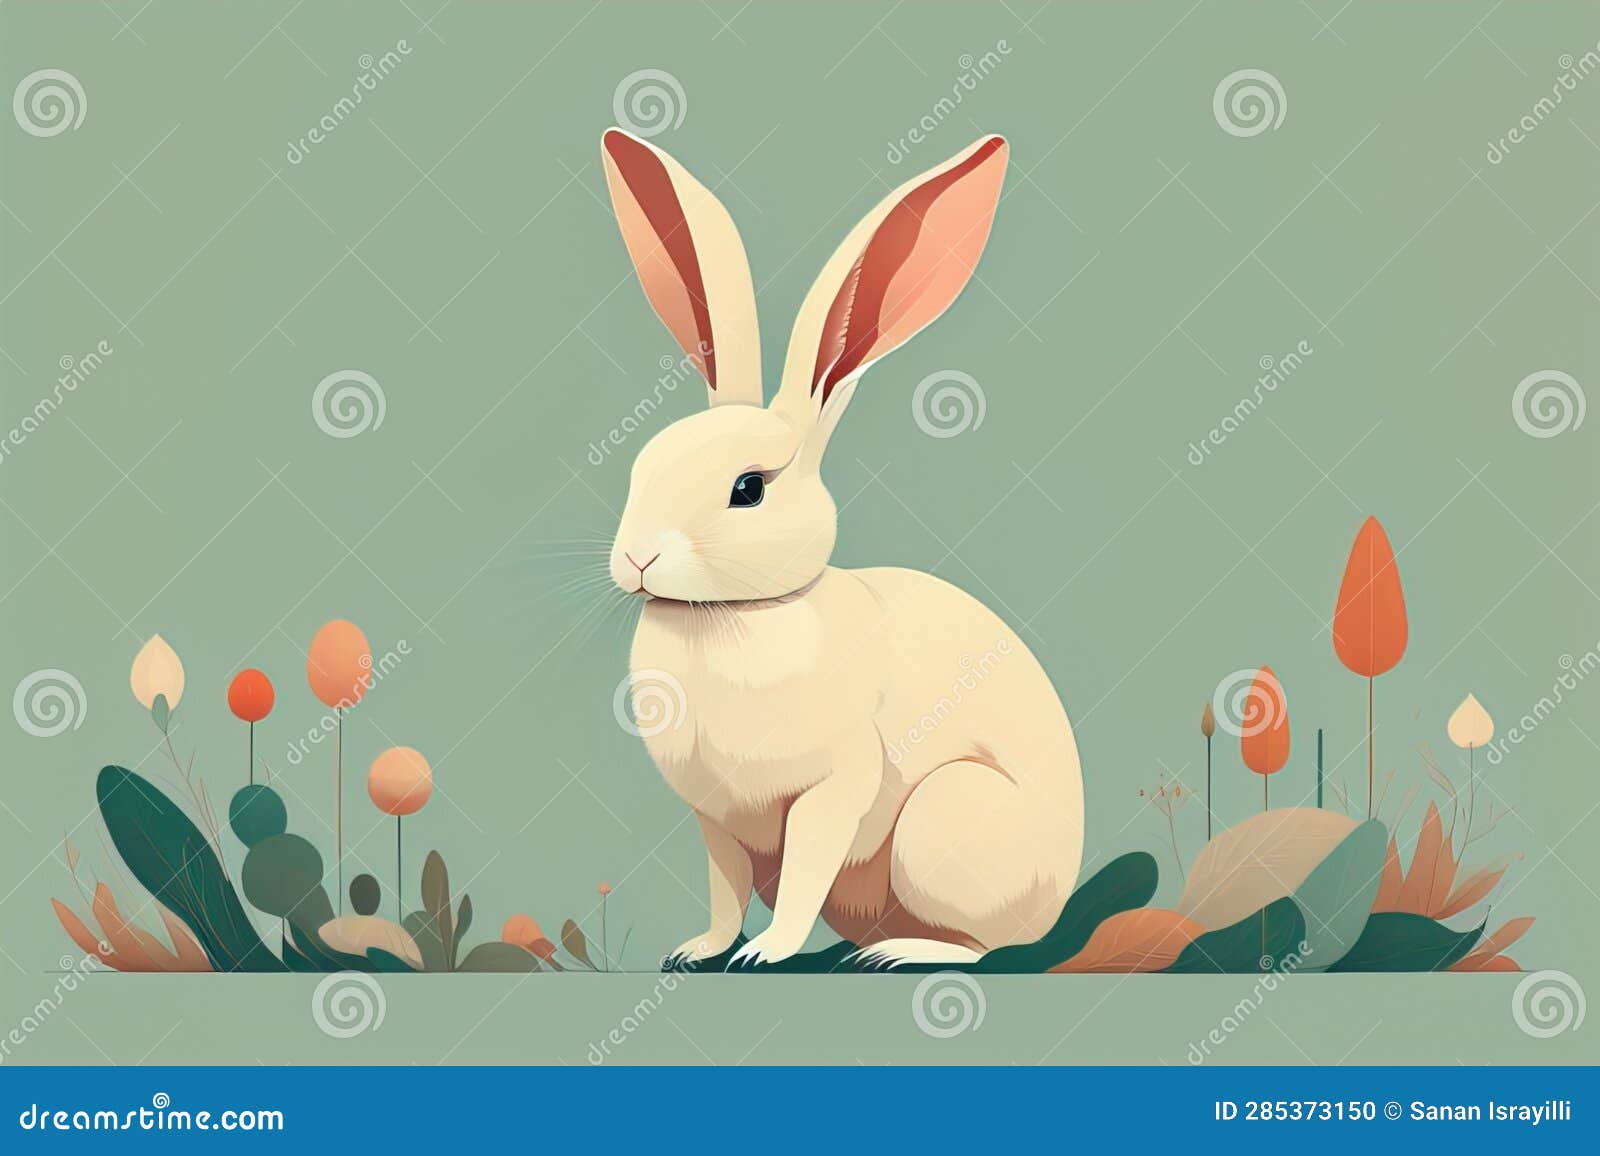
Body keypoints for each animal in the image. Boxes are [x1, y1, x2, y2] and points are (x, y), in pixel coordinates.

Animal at [599, 127, 1084, 969]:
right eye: (643, 465)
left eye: (748, 488)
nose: (637, 561)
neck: (733, 615)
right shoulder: (714, 820)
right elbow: (724, 890)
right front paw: (699, 949)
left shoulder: (832, 791)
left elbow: (803, 873)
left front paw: (766, 952)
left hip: (941, 827)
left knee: (989, 948)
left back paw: (903, 954)